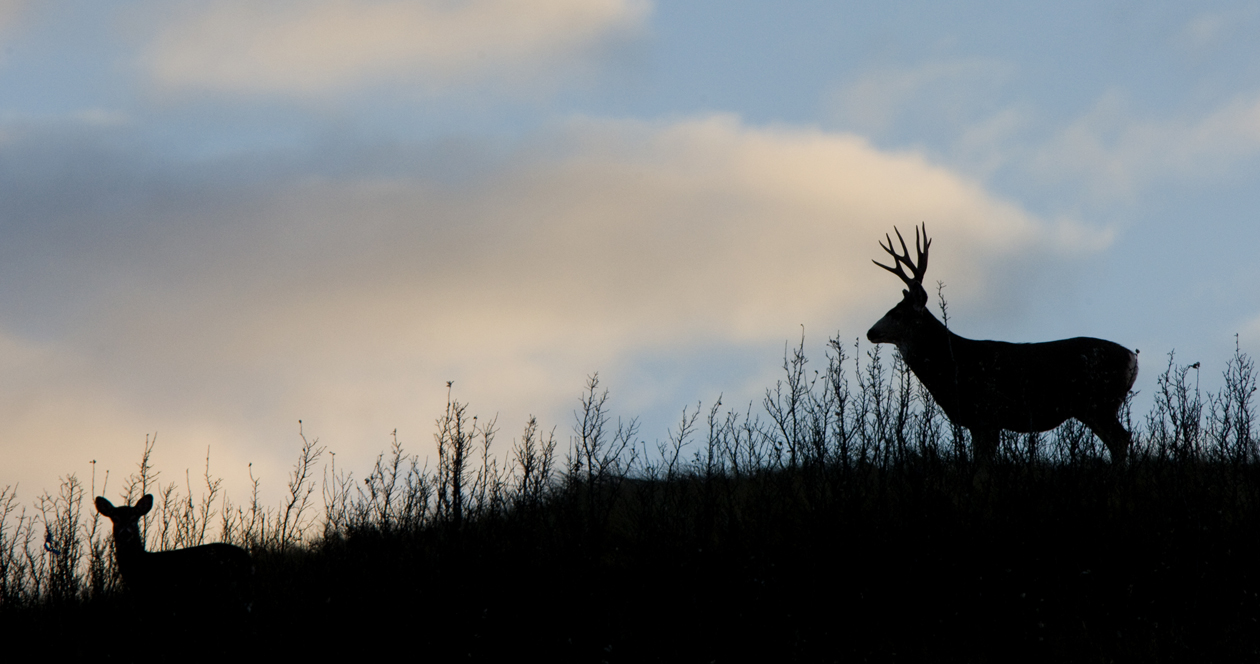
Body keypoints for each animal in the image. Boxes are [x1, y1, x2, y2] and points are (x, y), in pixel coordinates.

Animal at [866, 224, 1138, 464]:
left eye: (898, 313)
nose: (870, 332)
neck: (955, 365)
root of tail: (1132, 358)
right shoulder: (979, 422)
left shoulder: (986, 415)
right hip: (1095, 407)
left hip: (1099, 402)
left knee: (1121, 439)